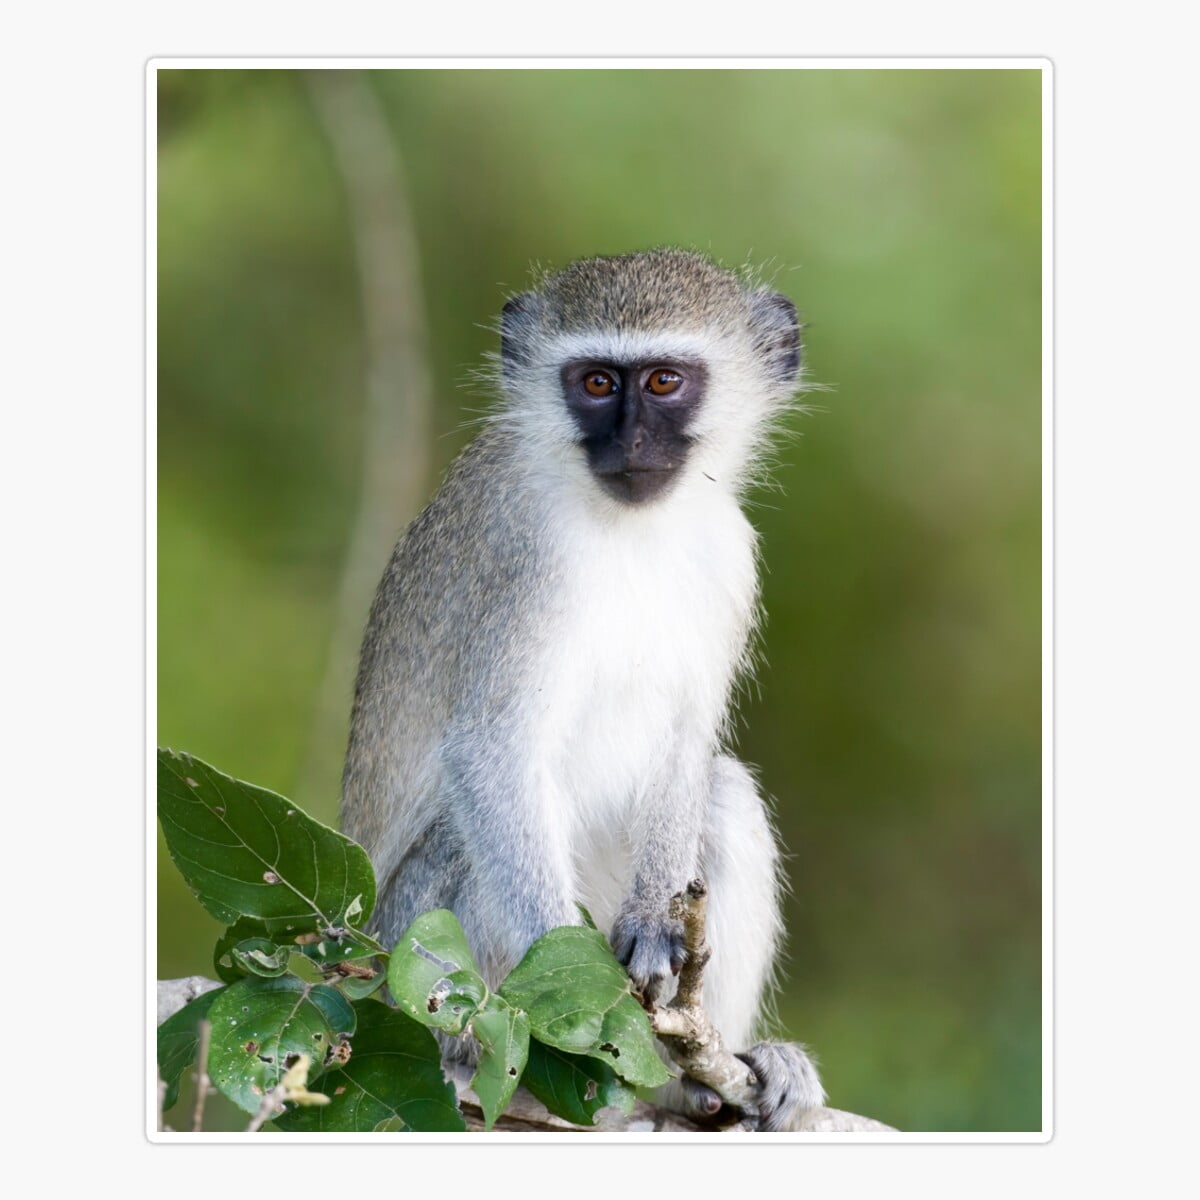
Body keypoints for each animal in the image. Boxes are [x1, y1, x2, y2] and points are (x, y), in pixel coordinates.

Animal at [341, 248, 826, 1130]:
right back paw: (478, 1055)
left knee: (724, 791)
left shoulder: (731, 554)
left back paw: (704, 1078)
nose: (630, 438)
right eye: (597, 383)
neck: (634, 524)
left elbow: (687, 743)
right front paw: (577, 980)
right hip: (398, 955)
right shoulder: (521, 554)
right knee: (467, 843)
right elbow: (490, 752)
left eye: (664, 381)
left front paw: (654, 927)